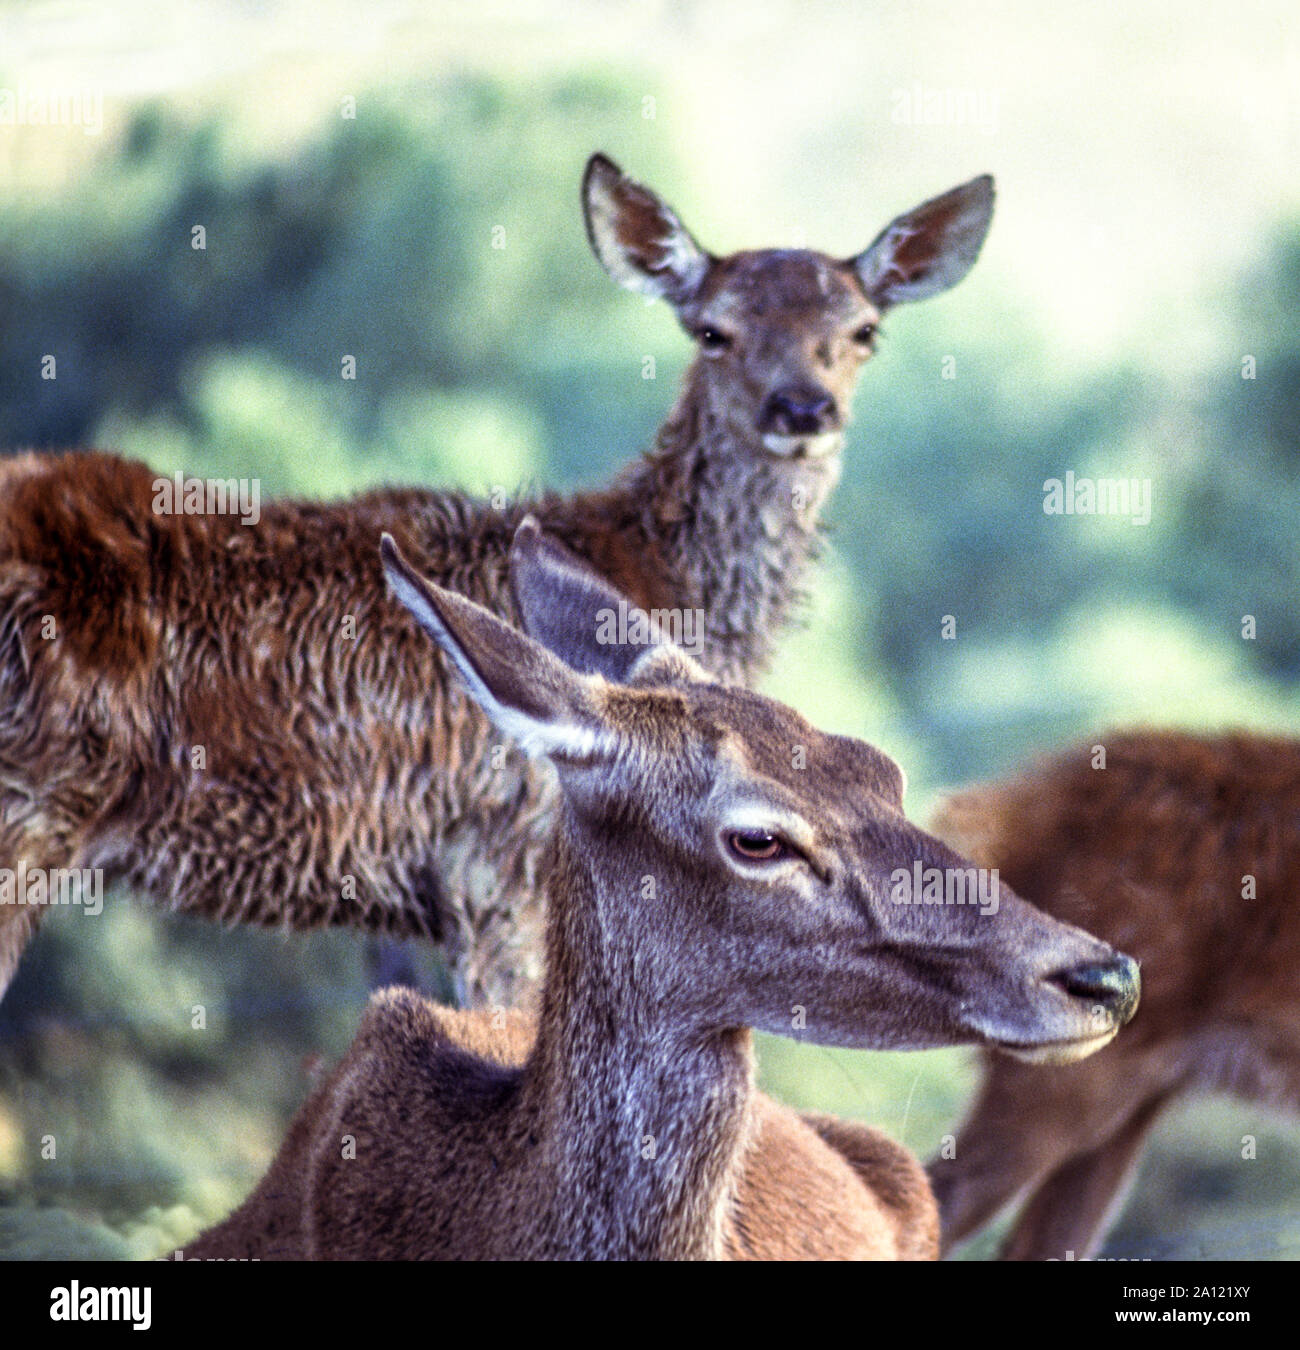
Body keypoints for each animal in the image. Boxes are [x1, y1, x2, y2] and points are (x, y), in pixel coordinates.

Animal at [0, 153, 995, 1009]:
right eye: (713, 329)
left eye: (862, 332)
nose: (801, 410)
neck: (665, 586)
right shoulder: (506, 860)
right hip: (37, 801)